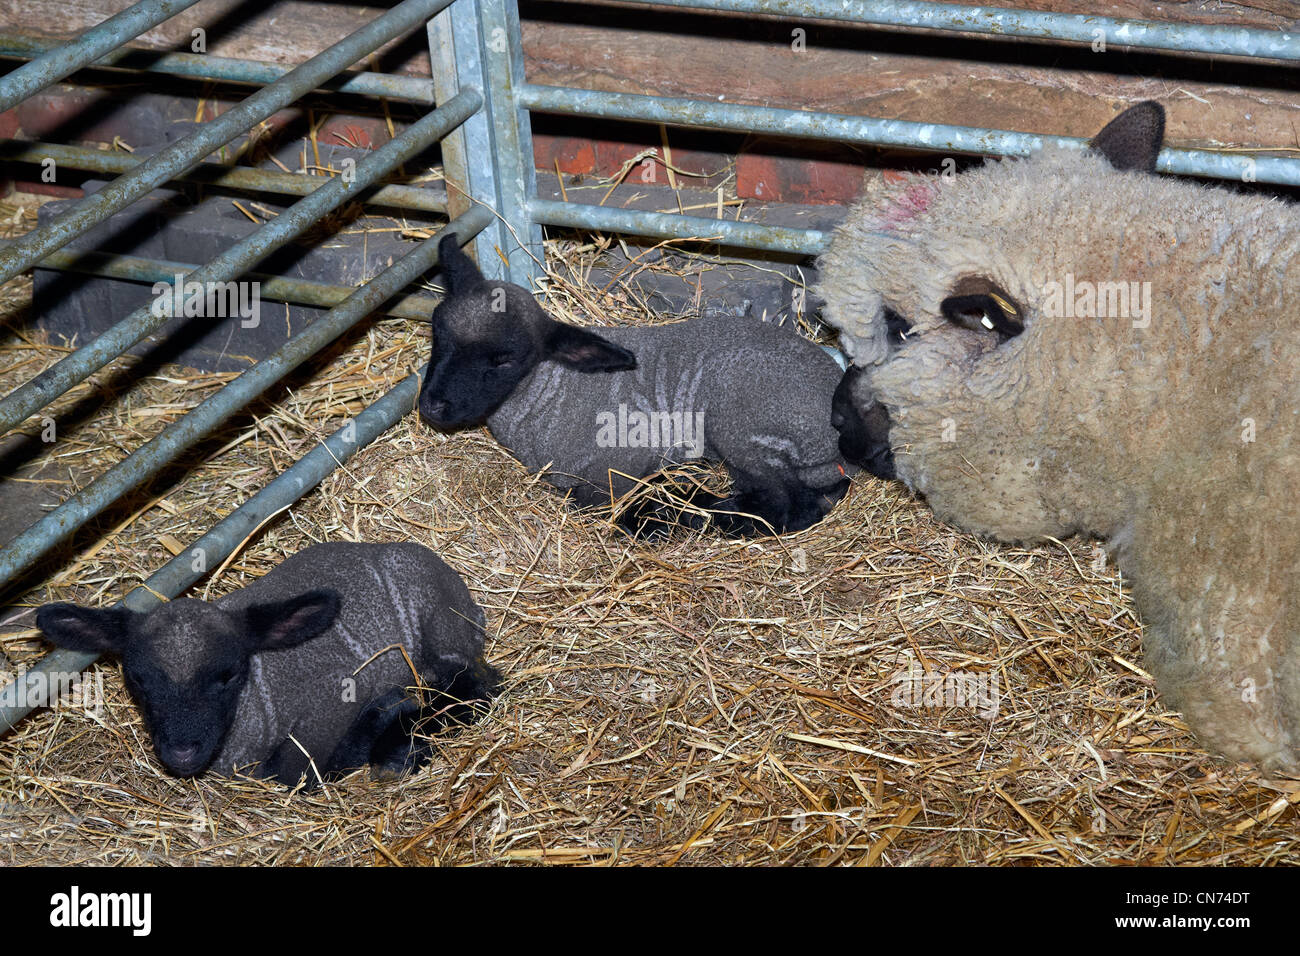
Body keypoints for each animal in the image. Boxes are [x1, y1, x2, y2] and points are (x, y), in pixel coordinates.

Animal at [36, 541, 499, 784]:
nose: (182, 751)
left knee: (480, 685)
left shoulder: (335, 697)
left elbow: (293, 771)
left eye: (228, 675)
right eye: (139, 680)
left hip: (441, 627)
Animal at [419, 234, 855, 536]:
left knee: (790, 506)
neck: (550, 392)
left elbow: (609, 506)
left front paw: (666, 516)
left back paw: (718, 518)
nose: (432, 406)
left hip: (742, 424)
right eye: (437, 332)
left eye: (504, 359)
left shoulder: (619, 468)